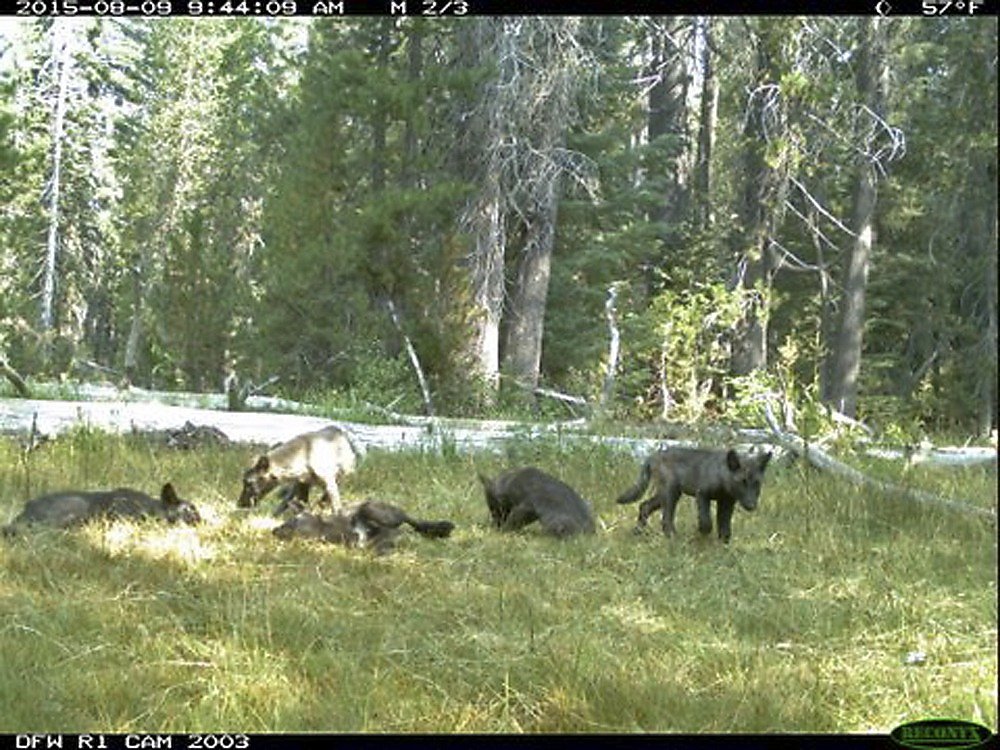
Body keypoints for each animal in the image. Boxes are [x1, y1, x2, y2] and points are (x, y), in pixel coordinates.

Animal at [616, 447, 772, 543]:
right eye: (742, 482)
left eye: (757, 483)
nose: (751, 506)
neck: (721, 476)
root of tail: (652, 456)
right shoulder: (702, 494)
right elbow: (706, 522)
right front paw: (701, 536)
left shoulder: (726, 503)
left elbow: (725, 528)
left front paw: (723, 546)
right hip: (670, 493)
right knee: (666, 519)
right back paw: (673, 538)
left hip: (665, 495)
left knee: (644, 506)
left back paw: (637, 532)